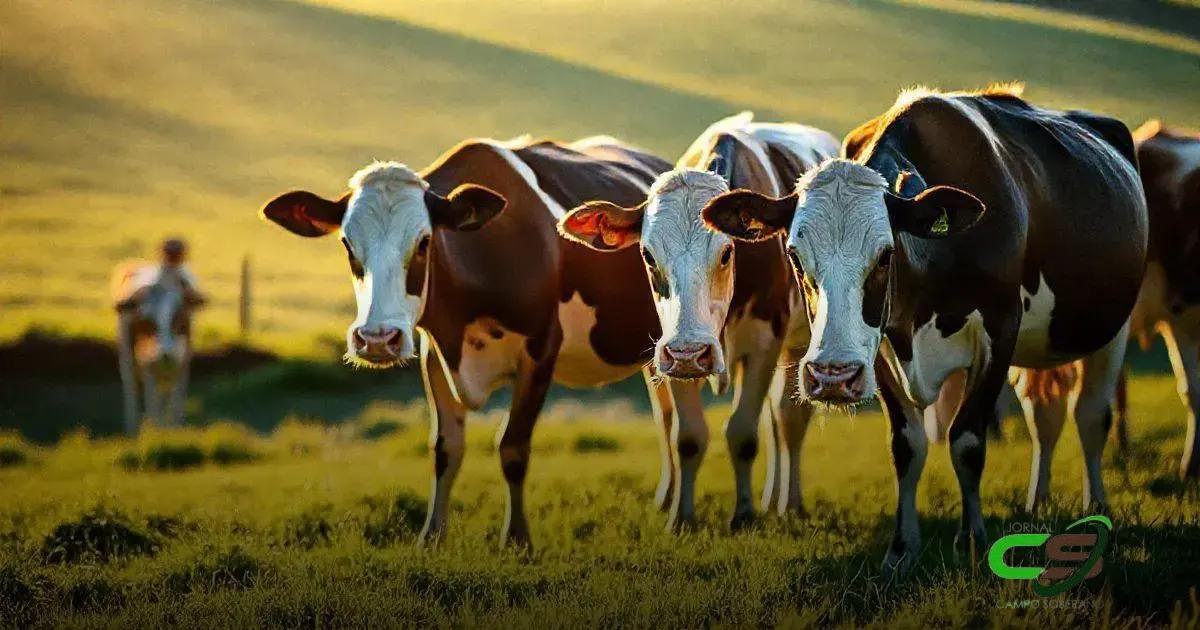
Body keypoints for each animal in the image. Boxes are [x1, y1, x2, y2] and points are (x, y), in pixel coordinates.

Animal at [111, 238, 206, 434]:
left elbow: (175, 402)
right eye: (147, 319)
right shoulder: (147, 363)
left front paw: (172, 432)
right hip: (127, 352)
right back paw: (132, 428)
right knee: (131, 387)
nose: (166, 353)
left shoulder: (183, 363)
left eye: (179, 313)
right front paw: (154, 433)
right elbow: (152, 402)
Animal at [259, 136, 713, 547]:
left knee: (685, 428)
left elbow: (512, 448)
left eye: (424, 242)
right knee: (666, 417)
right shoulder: (435, 353)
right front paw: (431, 537)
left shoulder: (539, 351)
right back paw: (665, 500)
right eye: (348, 245)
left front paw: (516, 539)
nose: (377, 339)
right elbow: (445, 448)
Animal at [557, 113, 838, 527]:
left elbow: (743, 434)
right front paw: (681, 518)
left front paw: (743, 515)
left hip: (799, 341)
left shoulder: (764, 343)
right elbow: (687, 436)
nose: (691, 352)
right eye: (648, 255)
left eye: (726, 252)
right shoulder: (674, 350)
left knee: (788, 419)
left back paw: (789, 504)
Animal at [701, 85, 1147, 574]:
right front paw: (901, 549)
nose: (833, 376)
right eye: (795, 257)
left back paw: (1096, 508)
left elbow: (967, 441)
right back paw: (1038, 501)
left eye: (885, 255)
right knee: (1043, 418)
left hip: (1114, 327)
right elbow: (907, 446)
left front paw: (971, 541)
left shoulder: (1000, 331)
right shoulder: (878, 349)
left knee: (1092, 416)